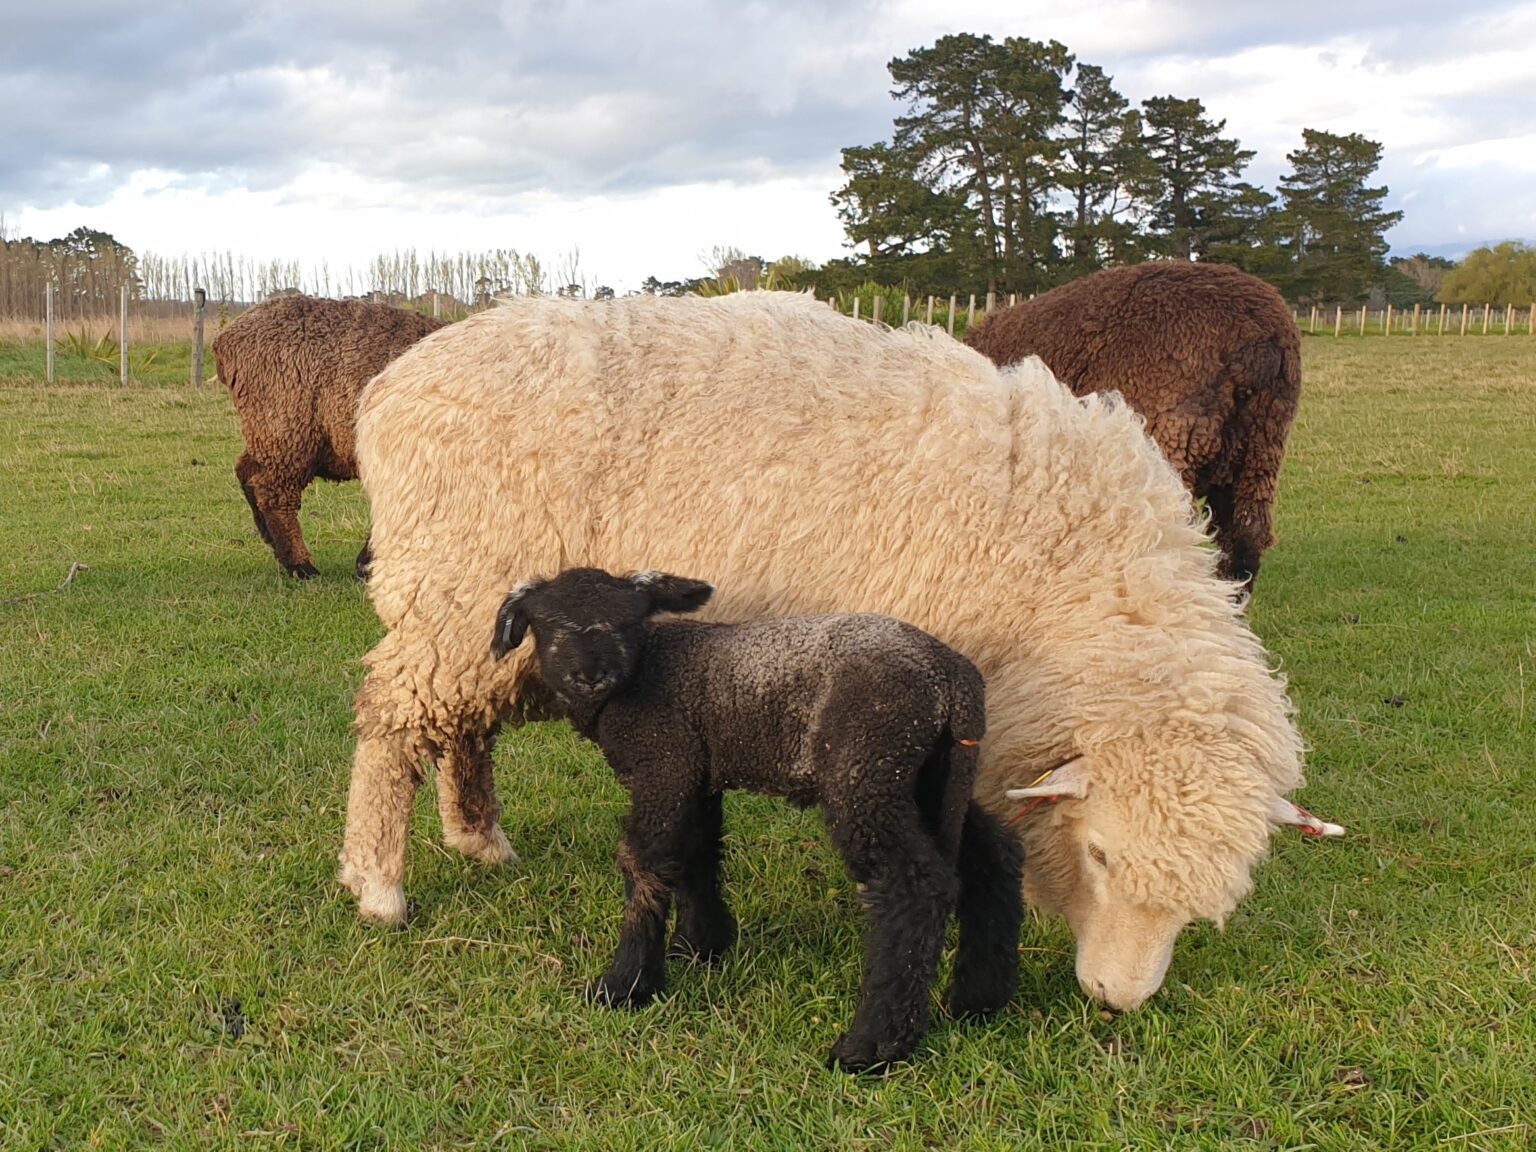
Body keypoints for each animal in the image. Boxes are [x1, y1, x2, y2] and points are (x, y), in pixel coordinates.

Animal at [211, 294, 446, 578]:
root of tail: (225, 339)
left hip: (272, 432)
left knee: (247, 472)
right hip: (287, 429)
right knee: (273, 491)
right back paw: (301, 566)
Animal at [489, 566, 1024, 1072]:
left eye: (630, 620)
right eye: (549, 622)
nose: (591, 674)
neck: (641, 671)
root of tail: (952, 678)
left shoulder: (665, 765)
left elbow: (644, 862)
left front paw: (626, 985)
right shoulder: (697, 775)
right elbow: (696, 852)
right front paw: (701, 944)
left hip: (867, 768)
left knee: (913, 885)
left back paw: (872, 1046)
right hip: (934, 776)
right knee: (993, 856)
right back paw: (980, 999)